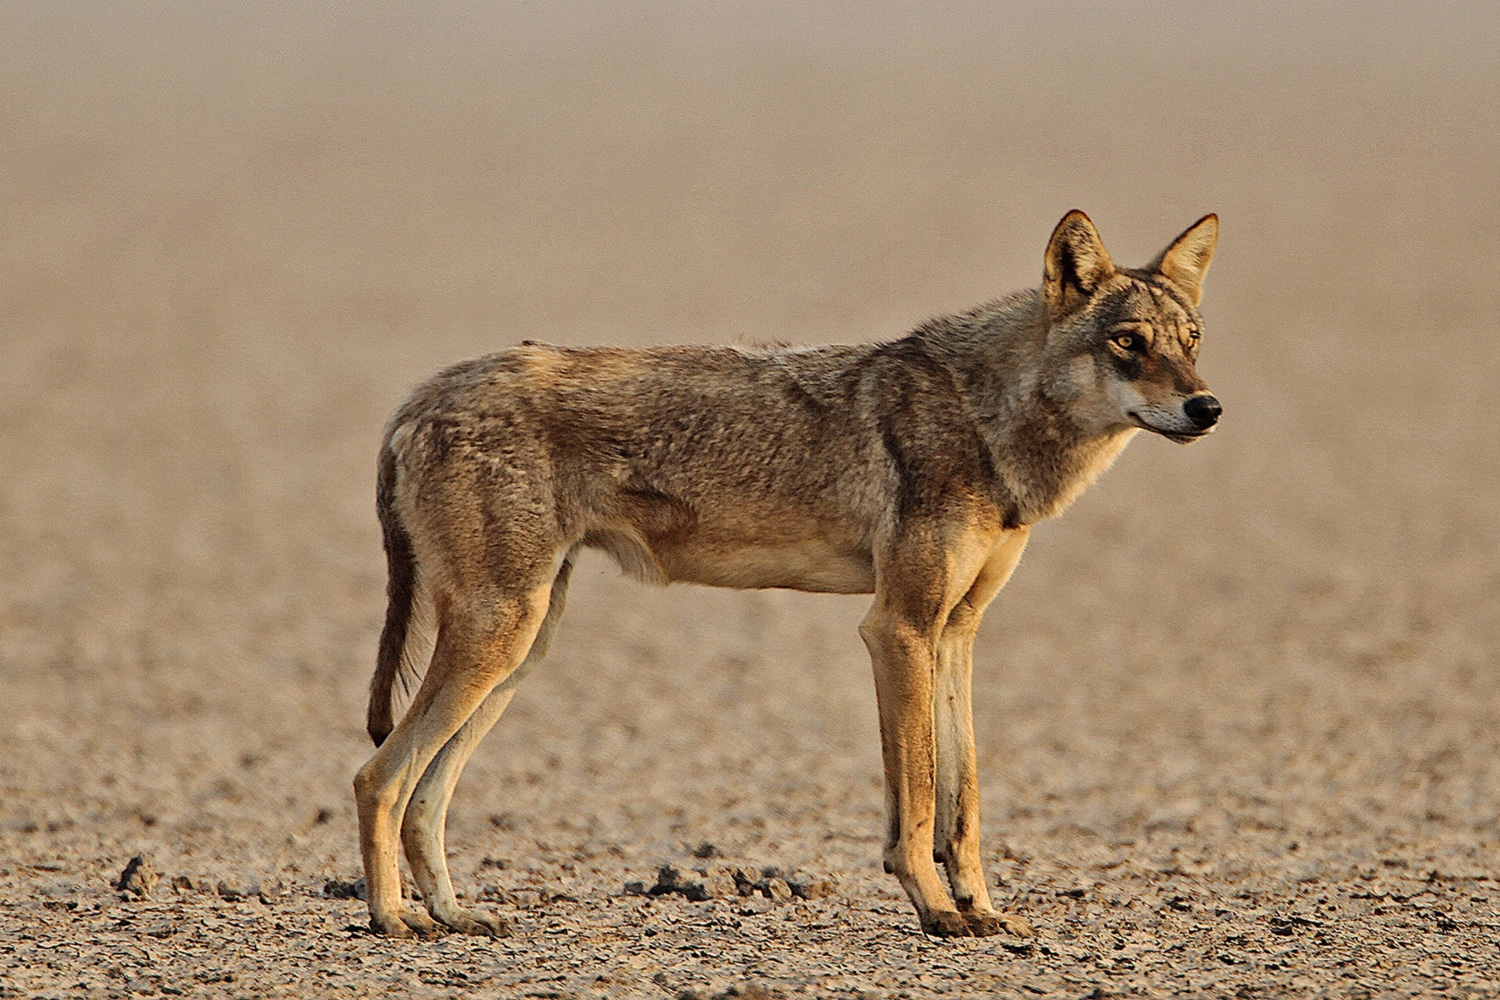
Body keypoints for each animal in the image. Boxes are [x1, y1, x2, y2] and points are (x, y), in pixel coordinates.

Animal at [353, 210, 1221, 939]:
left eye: (1191, 341)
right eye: (1129, 343)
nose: (1208, 409)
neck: (988, 421)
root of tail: (418, 395)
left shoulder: (955, 634)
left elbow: (963, 801)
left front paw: (982, 909)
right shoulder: (897, 628)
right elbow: (916, 804)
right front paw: (938, 912)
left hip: (522, 650)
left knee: (427, 795)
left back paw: (454, 916)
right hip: (498, 636)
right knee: (377, 778)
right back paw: (394, 920)